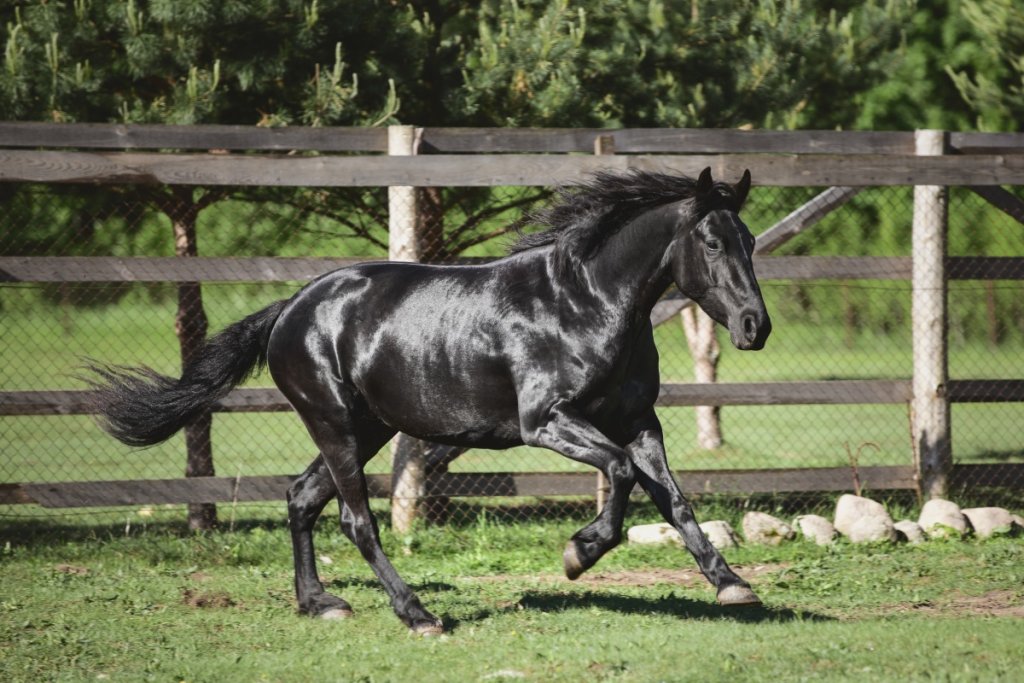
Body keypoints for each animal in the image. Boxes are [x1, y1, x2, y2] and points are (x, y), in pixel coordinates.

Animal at [86, 167, 772, 635]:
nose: (754, 327)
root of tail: (291, 309)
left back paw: (321, 604)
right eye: (712, 243)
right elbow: (621, 473)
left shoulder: (638, 422)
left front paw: (733, 586)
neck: (583, 303)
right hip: (333, 423)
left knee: (302, 498)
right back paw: (417, 614)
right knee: (354, 519)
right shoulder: (547, 423)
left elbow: (675, 501)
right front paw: (578, 554)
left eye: (751, 241)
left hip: (367, 428)